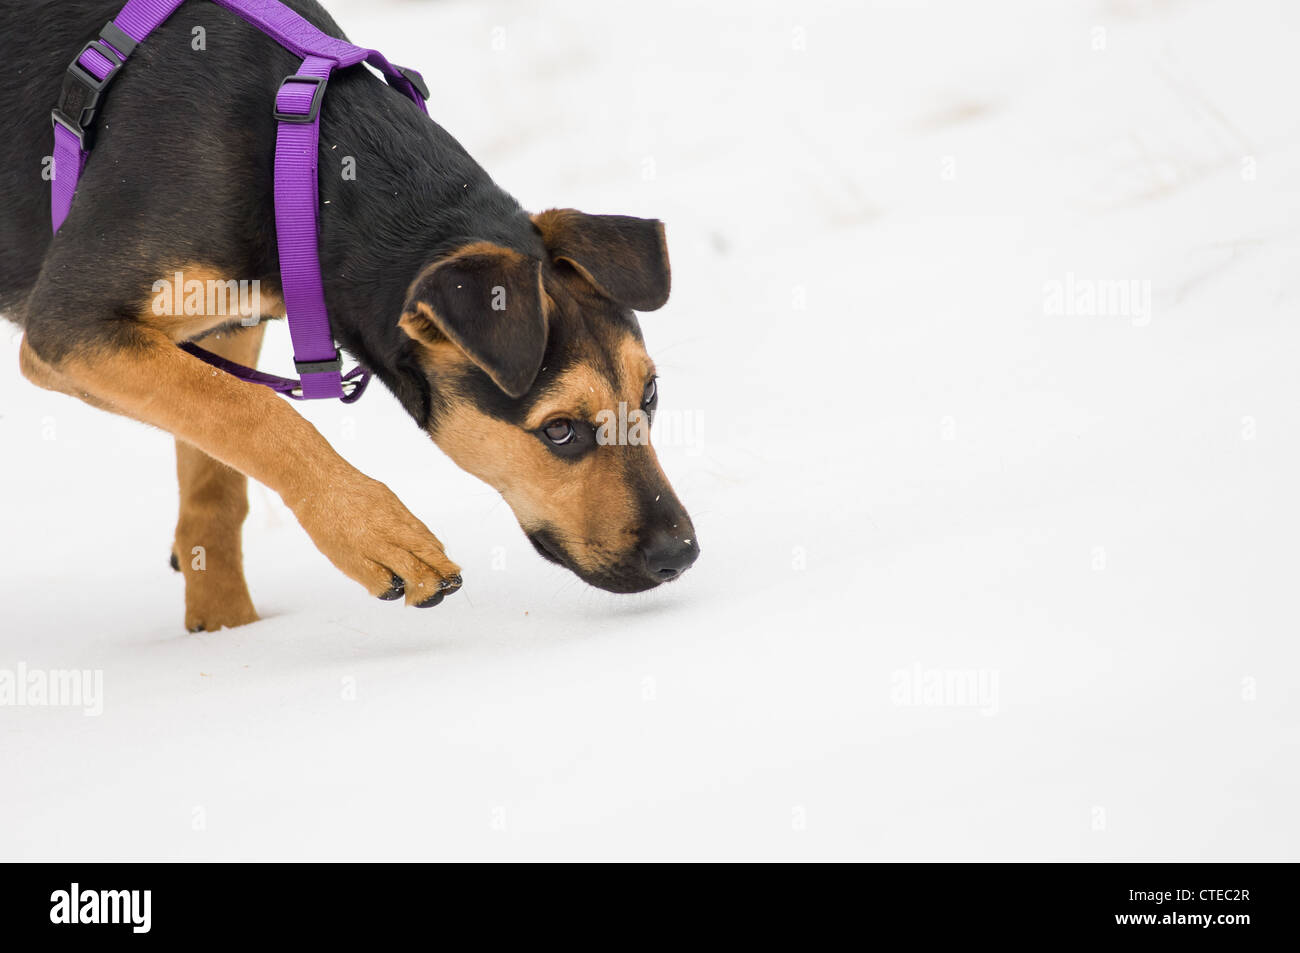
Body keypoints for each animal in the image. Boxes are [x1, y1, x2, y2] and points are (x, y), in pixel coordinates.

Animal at [0, 0, 702, 631]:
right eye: (558, 431)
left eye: (651, 395)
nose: (681, 554)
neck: (302, 168)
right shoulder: (69, 331)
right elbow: (256, 413)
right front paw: (374, 532)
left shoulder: (226, 322)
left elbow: (215, 478)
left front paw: (226, 631)